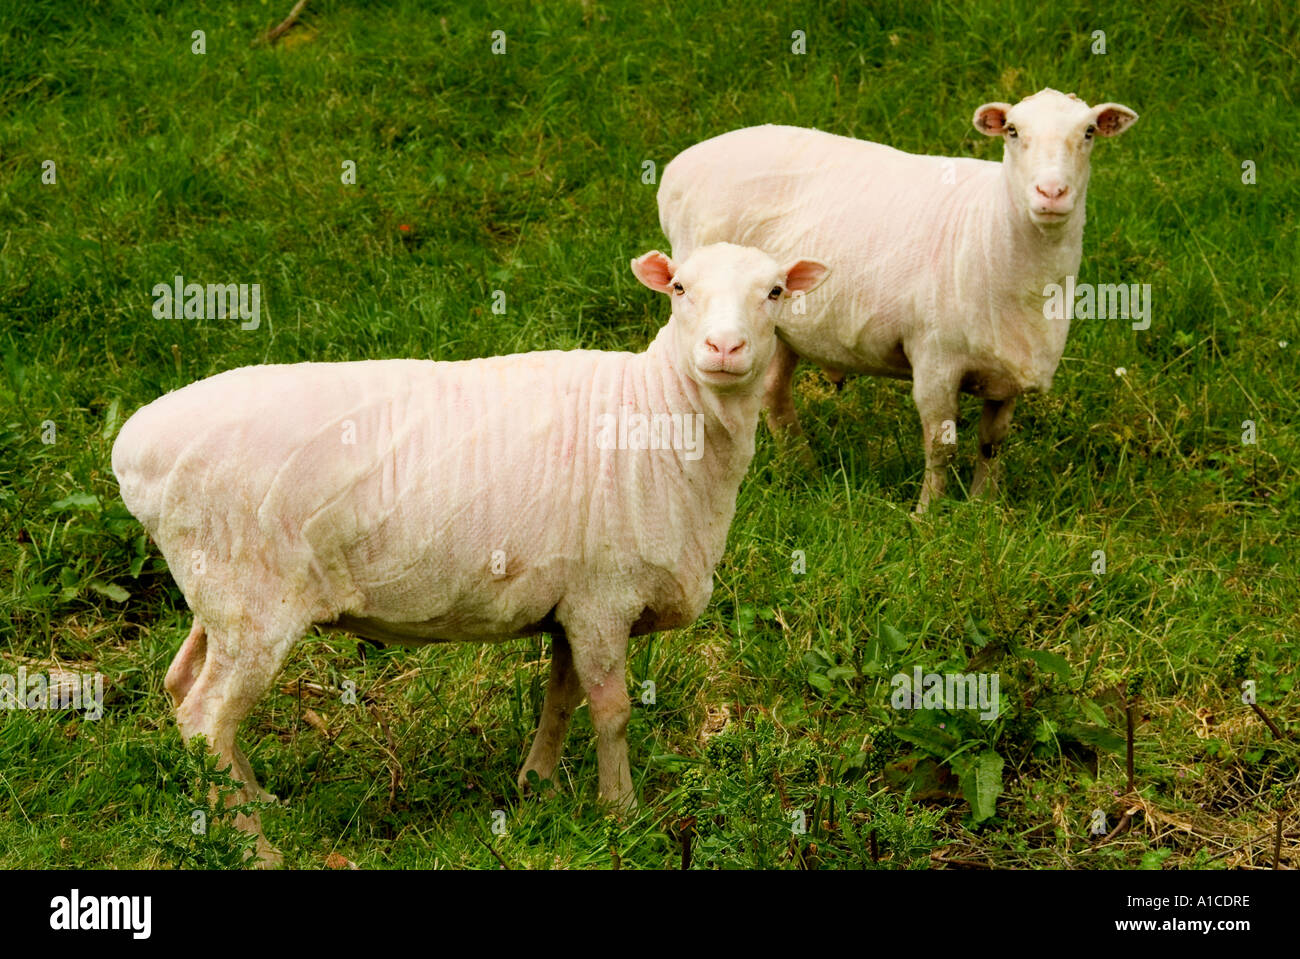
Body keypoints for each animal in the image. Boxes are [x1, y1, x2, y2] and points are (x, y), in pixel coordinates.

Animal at [111, 243, 828, 864]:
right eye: (679, 288)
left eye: (774, 292)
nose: (724, 348)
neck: (663, 413)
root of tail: (131, 448)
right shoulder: (604, 597)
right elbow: (613, 712)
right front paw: (622, 814)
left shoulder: (571, 600)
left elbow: (561, 696)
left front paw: (538, 786)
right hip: (253, 603)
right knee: (206, 719)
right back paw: (256, 848)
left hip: (220, 592)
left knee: (184, 687)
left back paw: (254, 801)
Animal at [658, 89, 1138, 511]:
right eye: (1013, 131)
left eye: (1089, 131)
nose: (1051, 193)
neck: (993, 228)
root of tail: (682, 163)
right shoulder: (935, 360)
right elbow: (941, 447)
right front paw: (927, 516)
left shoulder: (1006, 371)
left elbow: (992, 442)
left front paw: (984, 506)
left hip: (778, 323)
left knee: (774, 392)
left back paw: (804, 467)